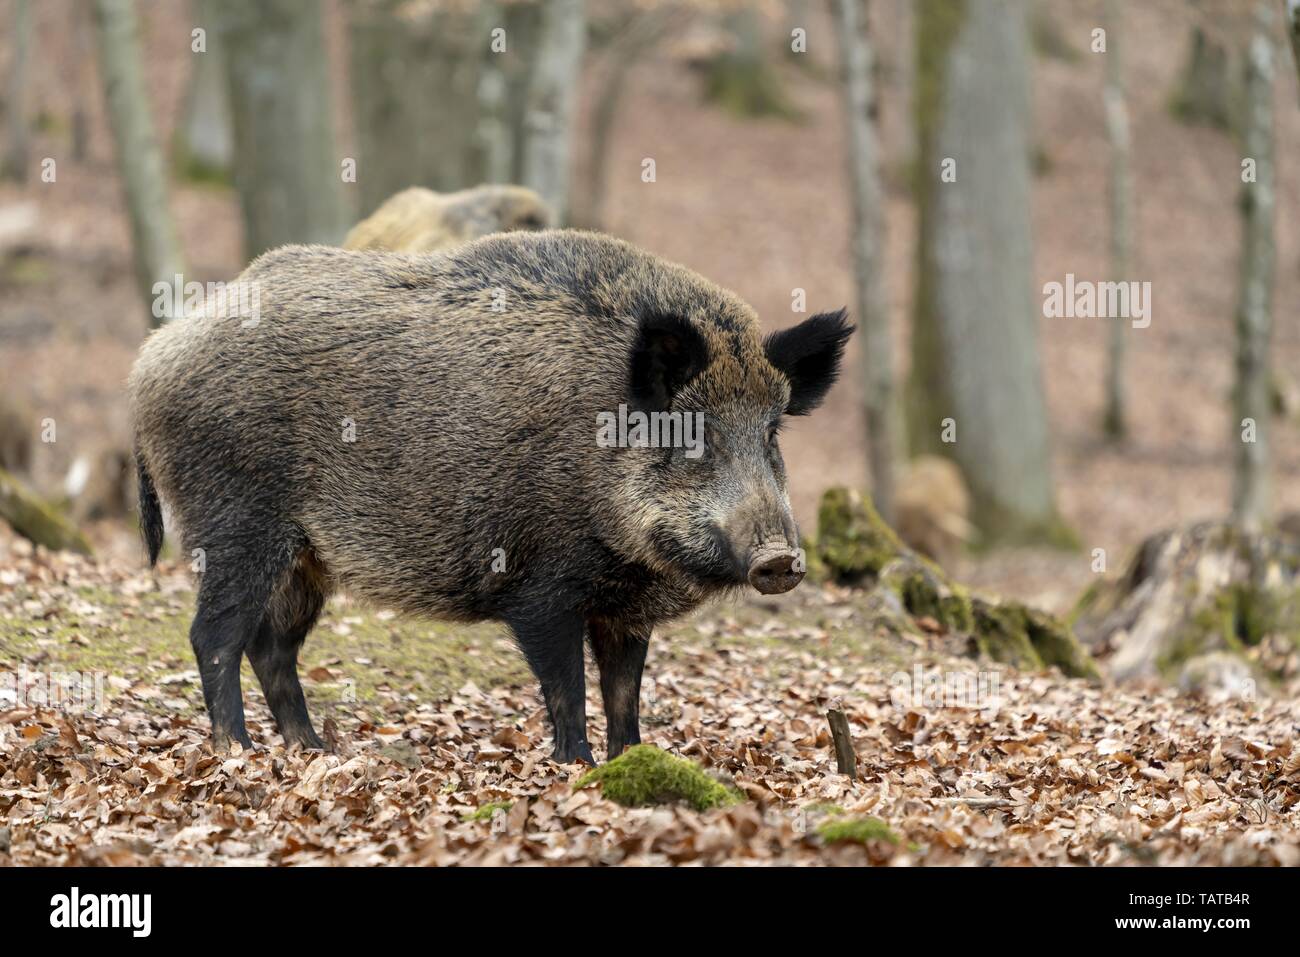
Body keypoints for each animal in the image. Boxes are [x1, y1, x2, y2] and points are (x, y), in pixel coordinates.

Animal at [129, 231, 852, 763]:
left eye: (772, 431)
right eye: (694, 432)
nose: (780, 560)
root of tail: (150, 360)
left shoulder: (625, 609)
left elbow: (625, 691)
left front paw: (634, 761)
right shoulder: (541, 588)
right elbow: (566, 687)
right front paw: (576, 766)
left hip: (308, 558)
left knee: (270, 646)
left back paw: (316, 751)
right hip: (236, 523)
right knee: (214, 636)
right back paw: (239, 751)